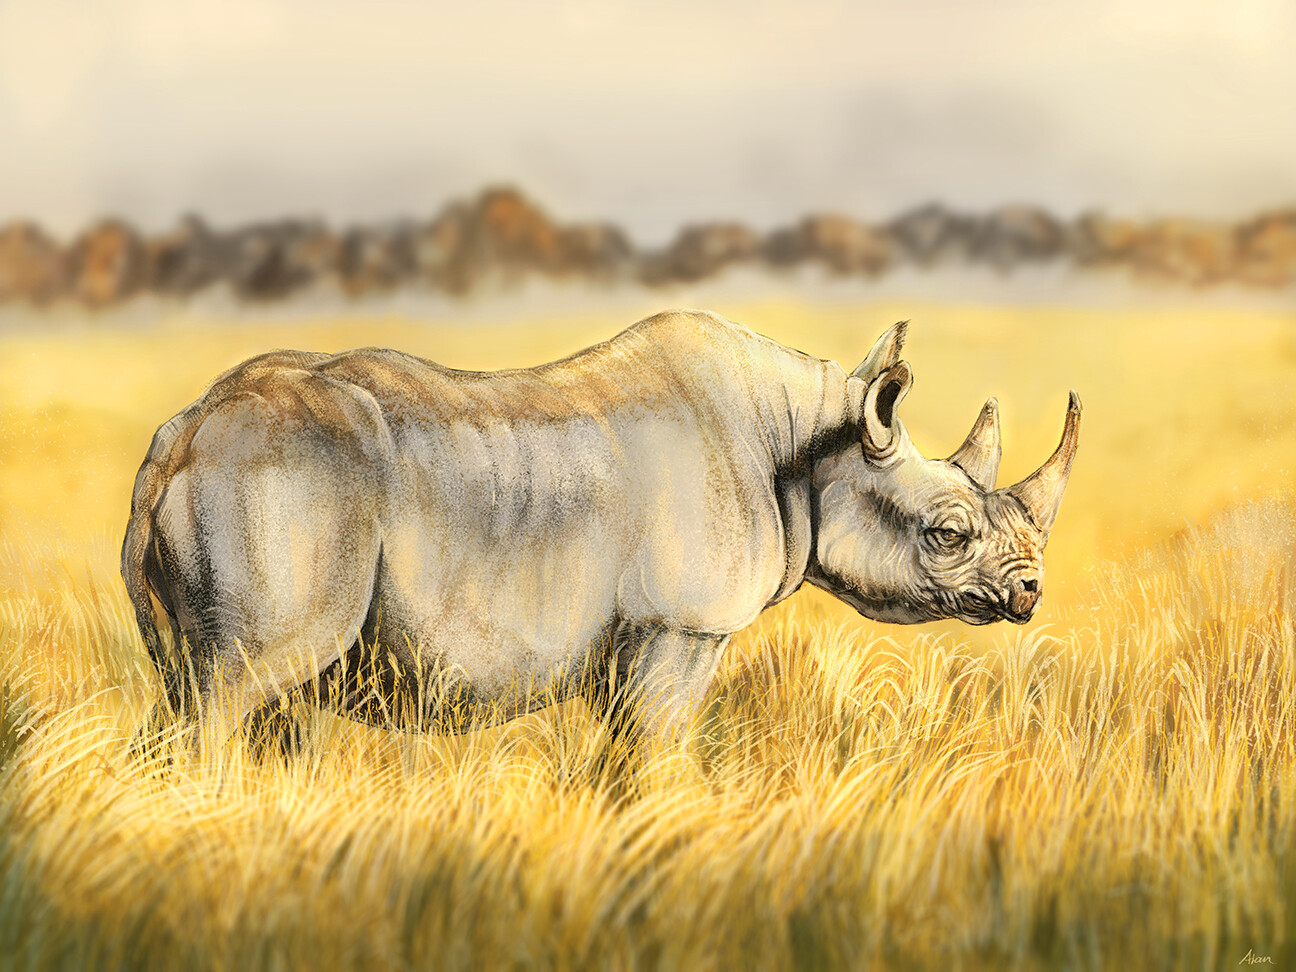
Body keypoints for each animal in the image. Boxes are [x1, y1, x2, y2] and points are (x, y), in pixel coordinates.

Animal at [121, 310, 1080, 750]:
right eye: (947, 534)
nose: (1033, 592)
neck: (810, 445)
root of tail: (184, 437)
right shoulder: (682, 625)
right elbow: (657, 754)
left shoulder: (644, 635)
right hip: (287, 480)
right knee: (235, 691)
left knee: (200, 696)